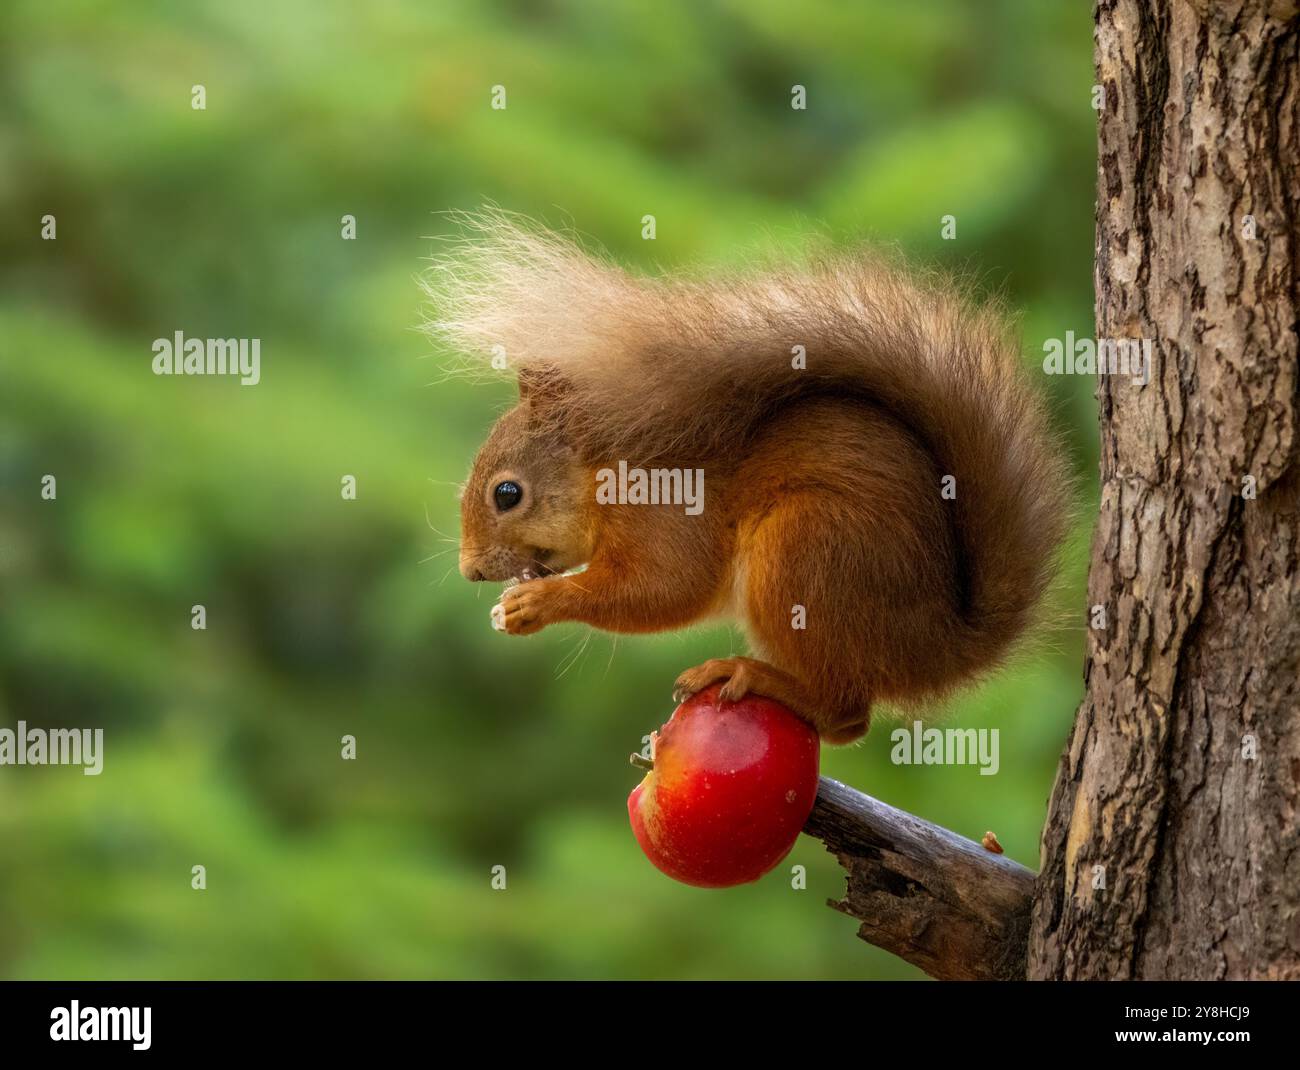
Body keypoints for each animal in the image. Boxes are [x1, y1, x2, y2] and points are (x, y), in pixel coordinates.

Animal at [427, 215, 1069, 744]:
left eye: (507, 494)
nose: (470, 571)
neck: (606, 476)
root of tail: (936, 645)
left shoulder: (666, 518)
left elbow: (665, 588)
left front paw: (539, 602)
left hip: (808, 550)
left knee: (846, 714)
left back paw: (750, 674)